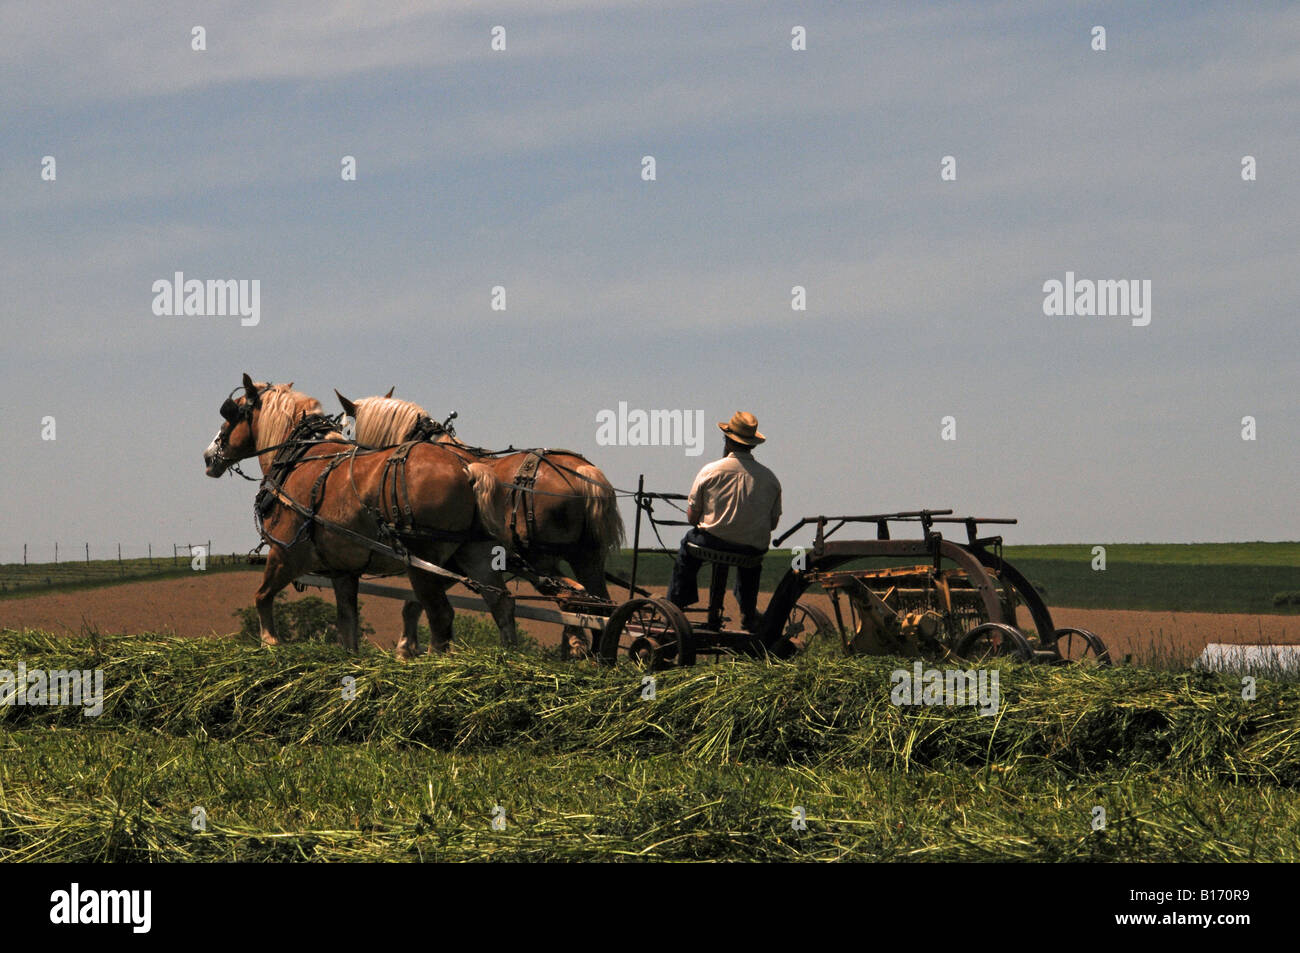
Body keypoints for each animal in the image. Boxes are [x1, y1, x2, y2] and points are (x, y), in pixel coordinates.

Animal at [203, 375, 517, 657]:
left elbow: (262, 596)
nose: (208, 456)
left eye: (231, 413)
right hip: (475, 557)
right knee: (502, 607)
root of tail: (466, 466)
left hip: (422, 560)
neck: (299, 459)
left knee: (440, 616)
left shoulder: (285, 553)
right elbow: (347, 626)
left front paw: (270, 642)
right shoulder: (343, 571)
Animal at [334, 390, 625, 657]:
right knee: (599, 606)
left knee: (574, 601)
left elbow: (421, 604)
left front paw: (407, 649)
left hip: (542, 560)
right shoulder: (457, 564)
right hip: (586, 557)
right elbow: (415, 603)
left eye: (348, 430)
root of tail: (584, 472)